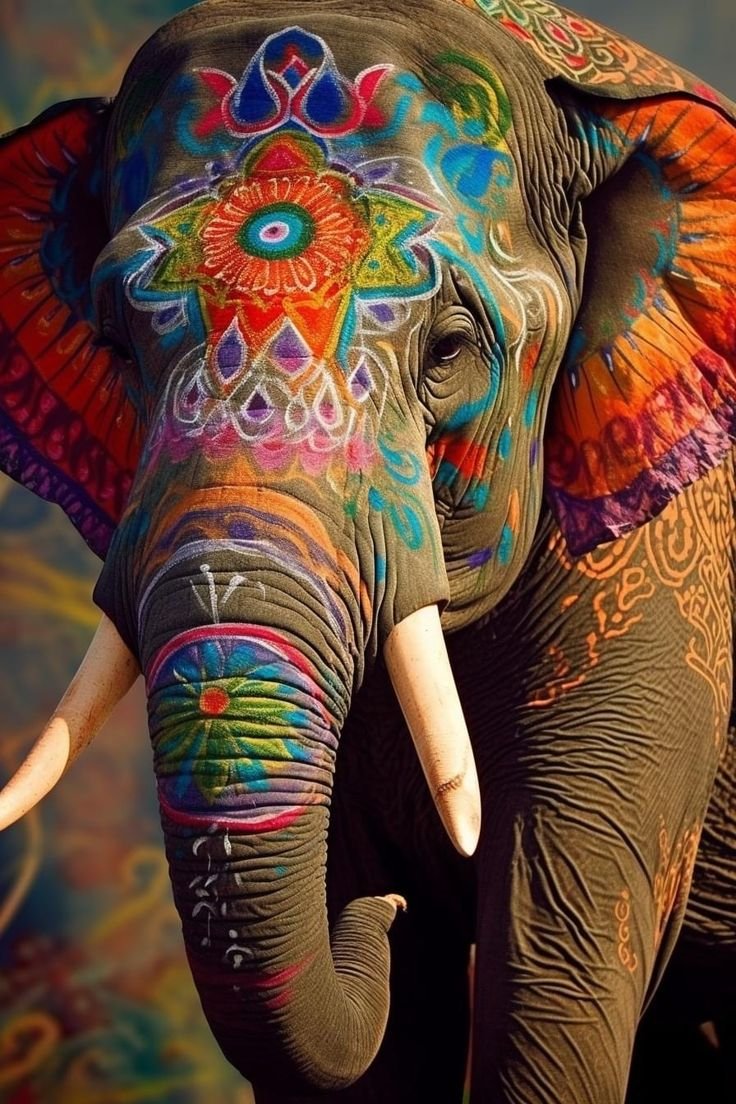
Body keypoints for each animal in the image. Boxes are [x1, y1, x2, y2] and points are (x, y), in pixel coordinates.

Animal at [1, 0, 735, 1100]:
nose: (376, 919)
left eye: (450, 350)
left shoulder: (661, 565)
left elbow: (555, 944)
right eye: (119, 344)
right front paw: (383, 909)